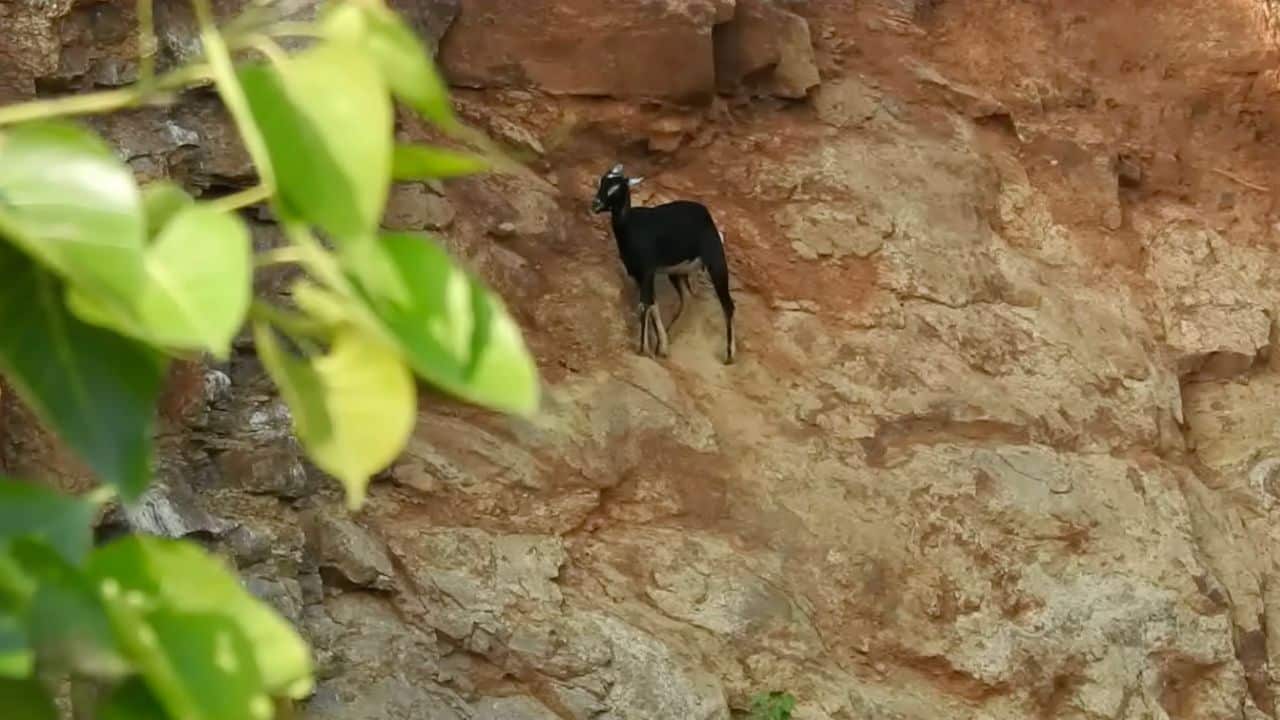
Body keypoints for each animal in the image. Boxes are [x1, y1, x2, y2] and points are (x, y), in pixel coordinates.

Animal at [590, 163, 736, 364]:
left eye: (617, 188)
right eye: (602, 181)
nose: (595, 204)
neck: (630, 227)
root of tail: (709, 219)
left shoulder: (647, 271)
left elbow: (644, 305)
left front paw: (643, 349)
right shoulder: (639, 274)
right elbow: (653, 305)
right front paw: (660, 347)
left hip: (717, 263)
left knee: (727, 305)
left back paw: (729, 355)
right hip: (677, 272)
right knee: (688, 299)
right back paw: (670, 334)